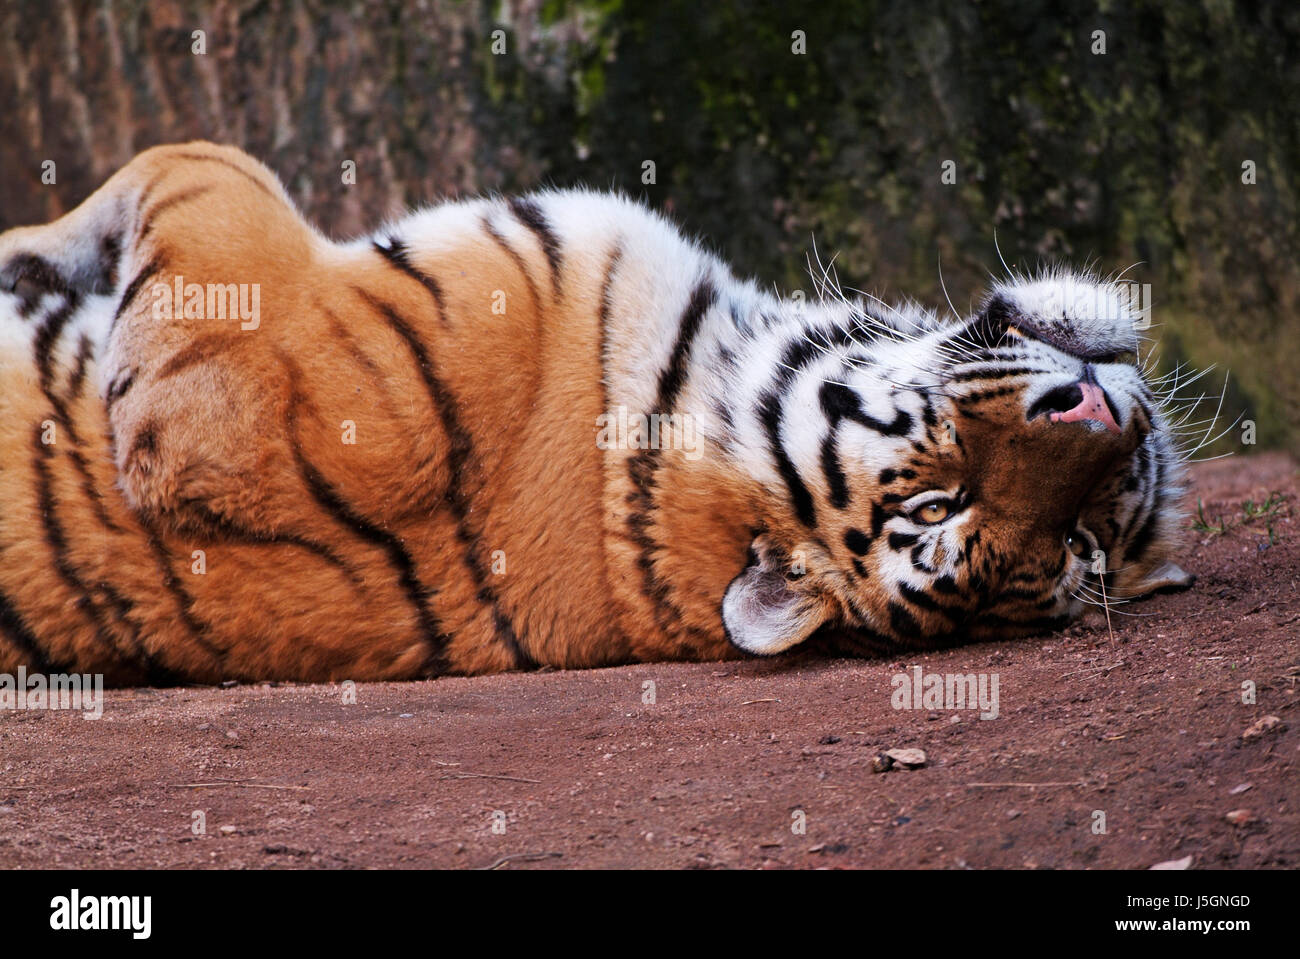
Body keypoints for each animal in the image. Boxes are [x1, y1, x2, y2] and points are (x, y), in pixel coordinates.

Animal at [0, 142, 1191, 685]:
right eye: (942, 502)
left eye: (1077, 541)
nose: (1095, 408)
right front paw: (29, 259)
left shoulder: (212, 389)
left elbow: (194, 163)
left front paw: (28, 251)